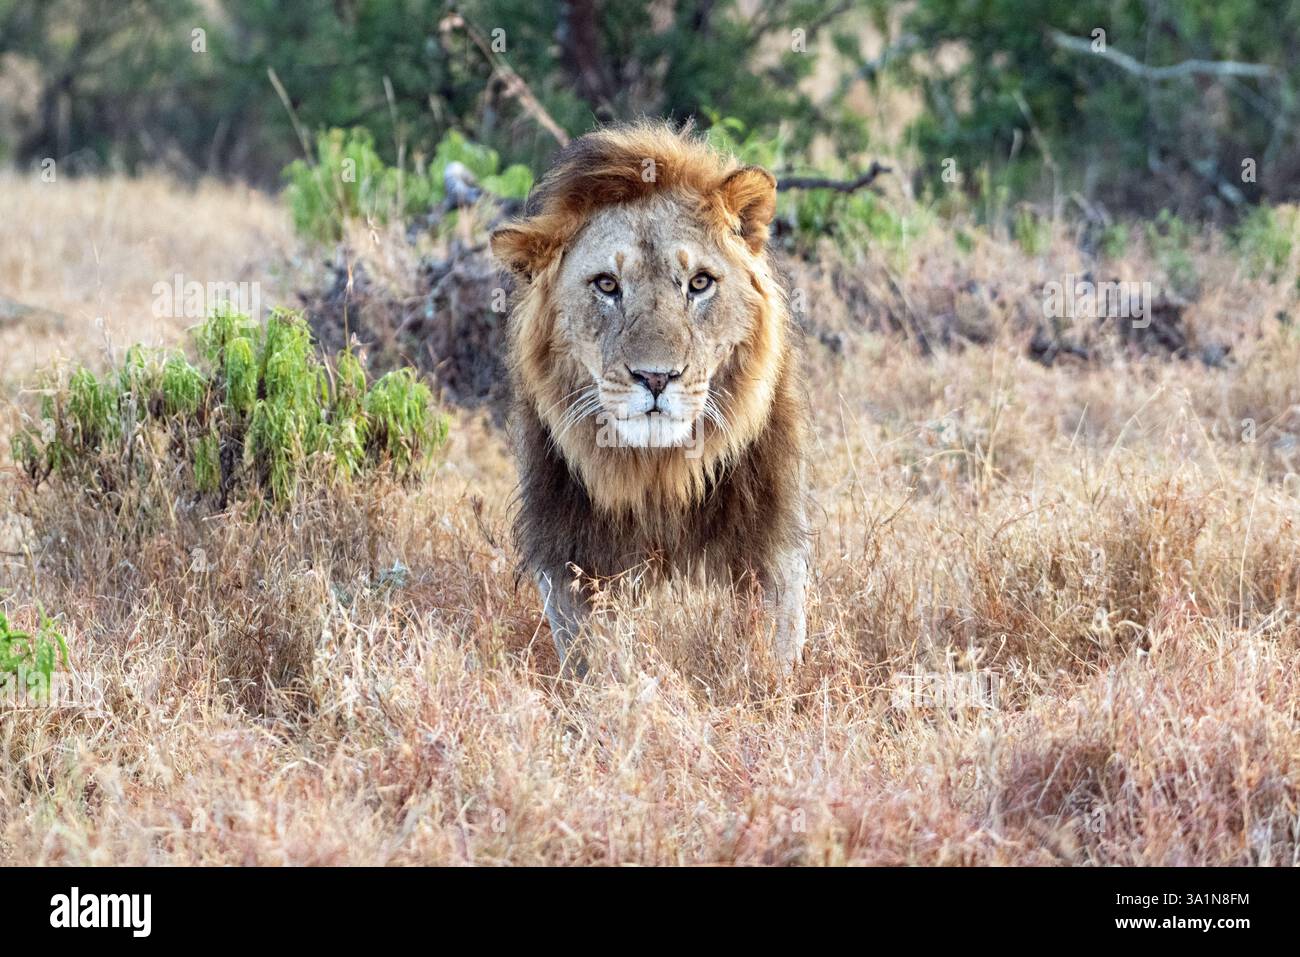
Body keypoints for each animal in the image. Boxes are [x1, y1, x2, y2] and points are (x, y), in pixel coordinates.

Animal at [490, 121, 808, 677]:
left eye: (699, 282)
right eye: (607, 284)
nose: (656, 378)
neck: (658, 475)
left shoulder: (770, 548)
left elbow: (772, 645)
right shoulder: (572, 562)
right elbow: (599, 656)